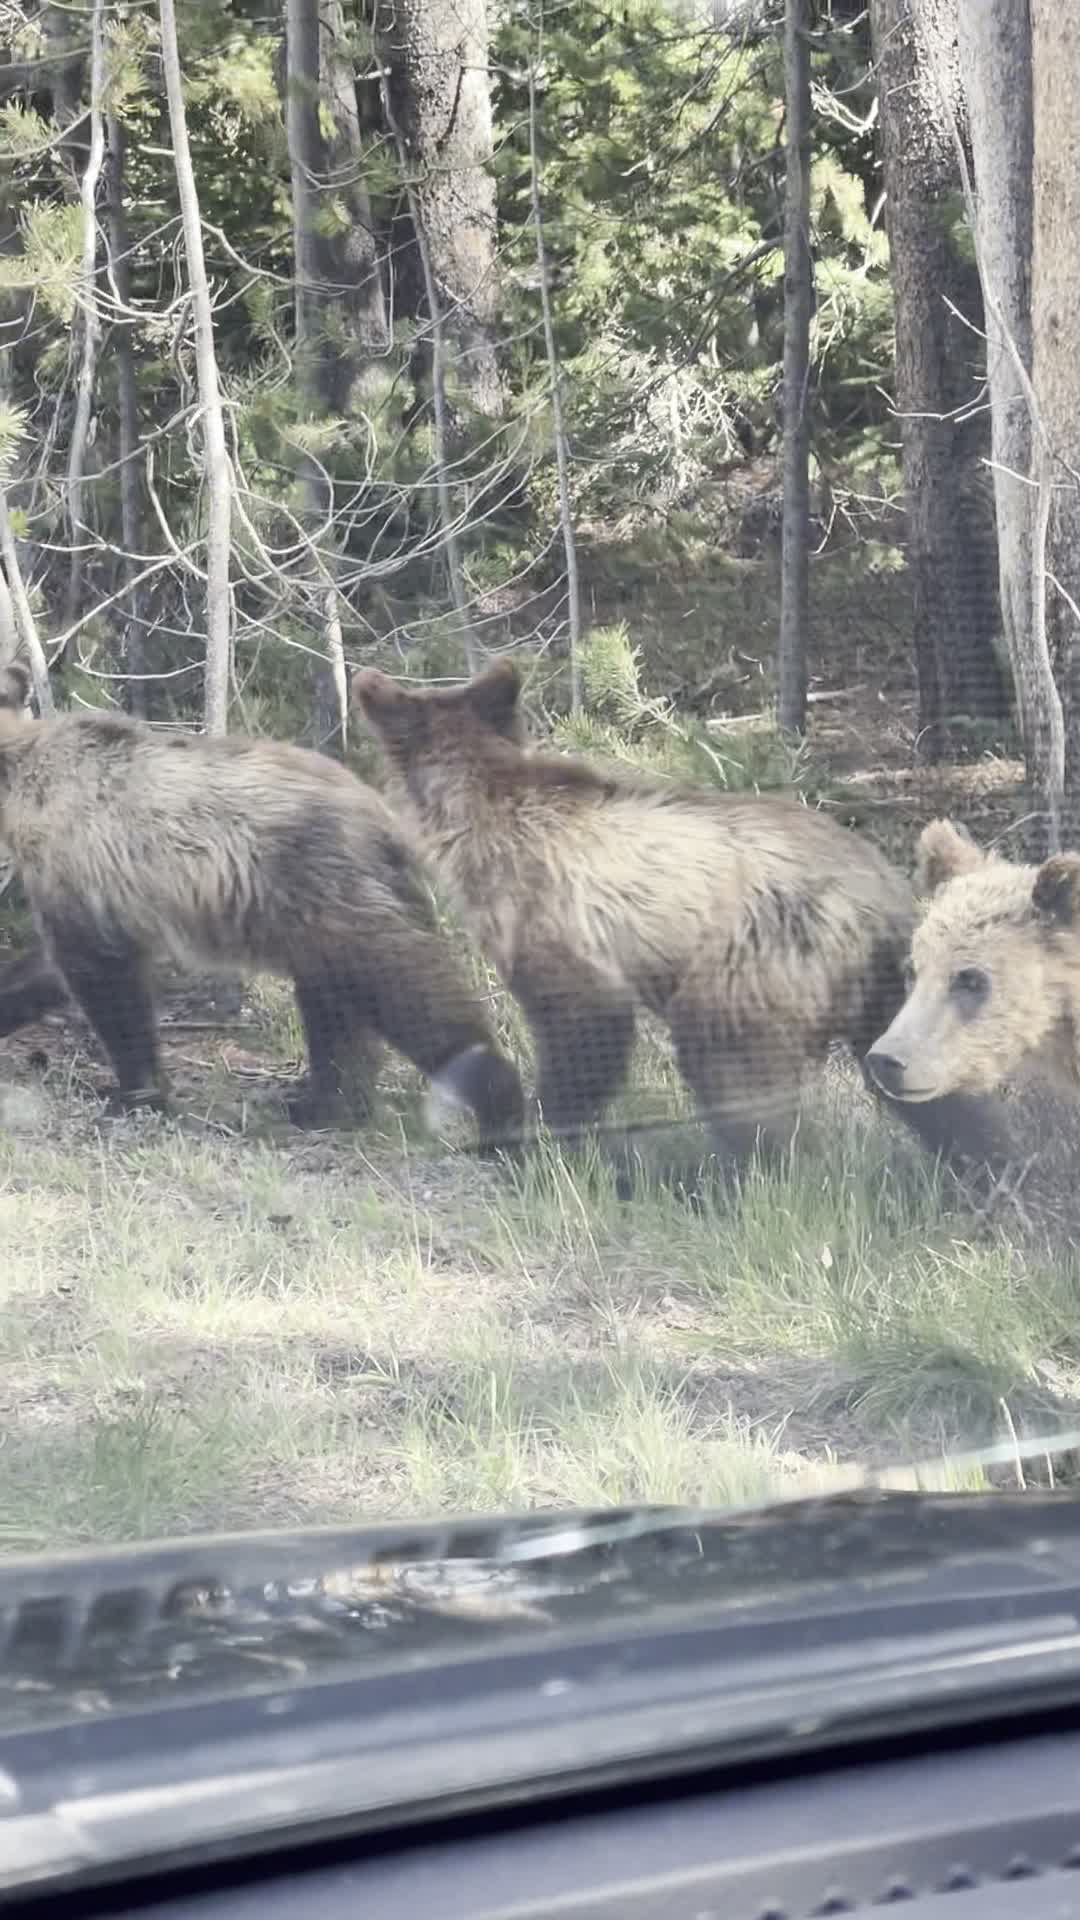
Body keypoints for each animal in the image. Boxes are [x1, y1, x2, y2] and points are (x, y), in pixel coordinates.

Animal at [0, 662, 523, 1145]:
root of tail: (385, 819)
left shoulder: (79, 865)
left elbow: (103, 979)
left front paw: (136, 1094)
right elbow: (46, 970)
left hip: (331, 891)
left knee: (408, 993)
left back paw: (498, 1105)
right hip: (322, 923)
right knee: (336, 1012)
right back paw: (325, 1104)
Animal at [352, 657, 1006, 1174]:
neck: (479, 820)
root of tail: (880, 891)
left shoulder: (551, 914)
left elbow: (585, 1022)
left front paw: (534, 1133)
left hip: (760, 962)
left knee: (734, 1069)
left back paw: (752, 1173)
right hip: (892, 991)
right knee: (914, 1072)